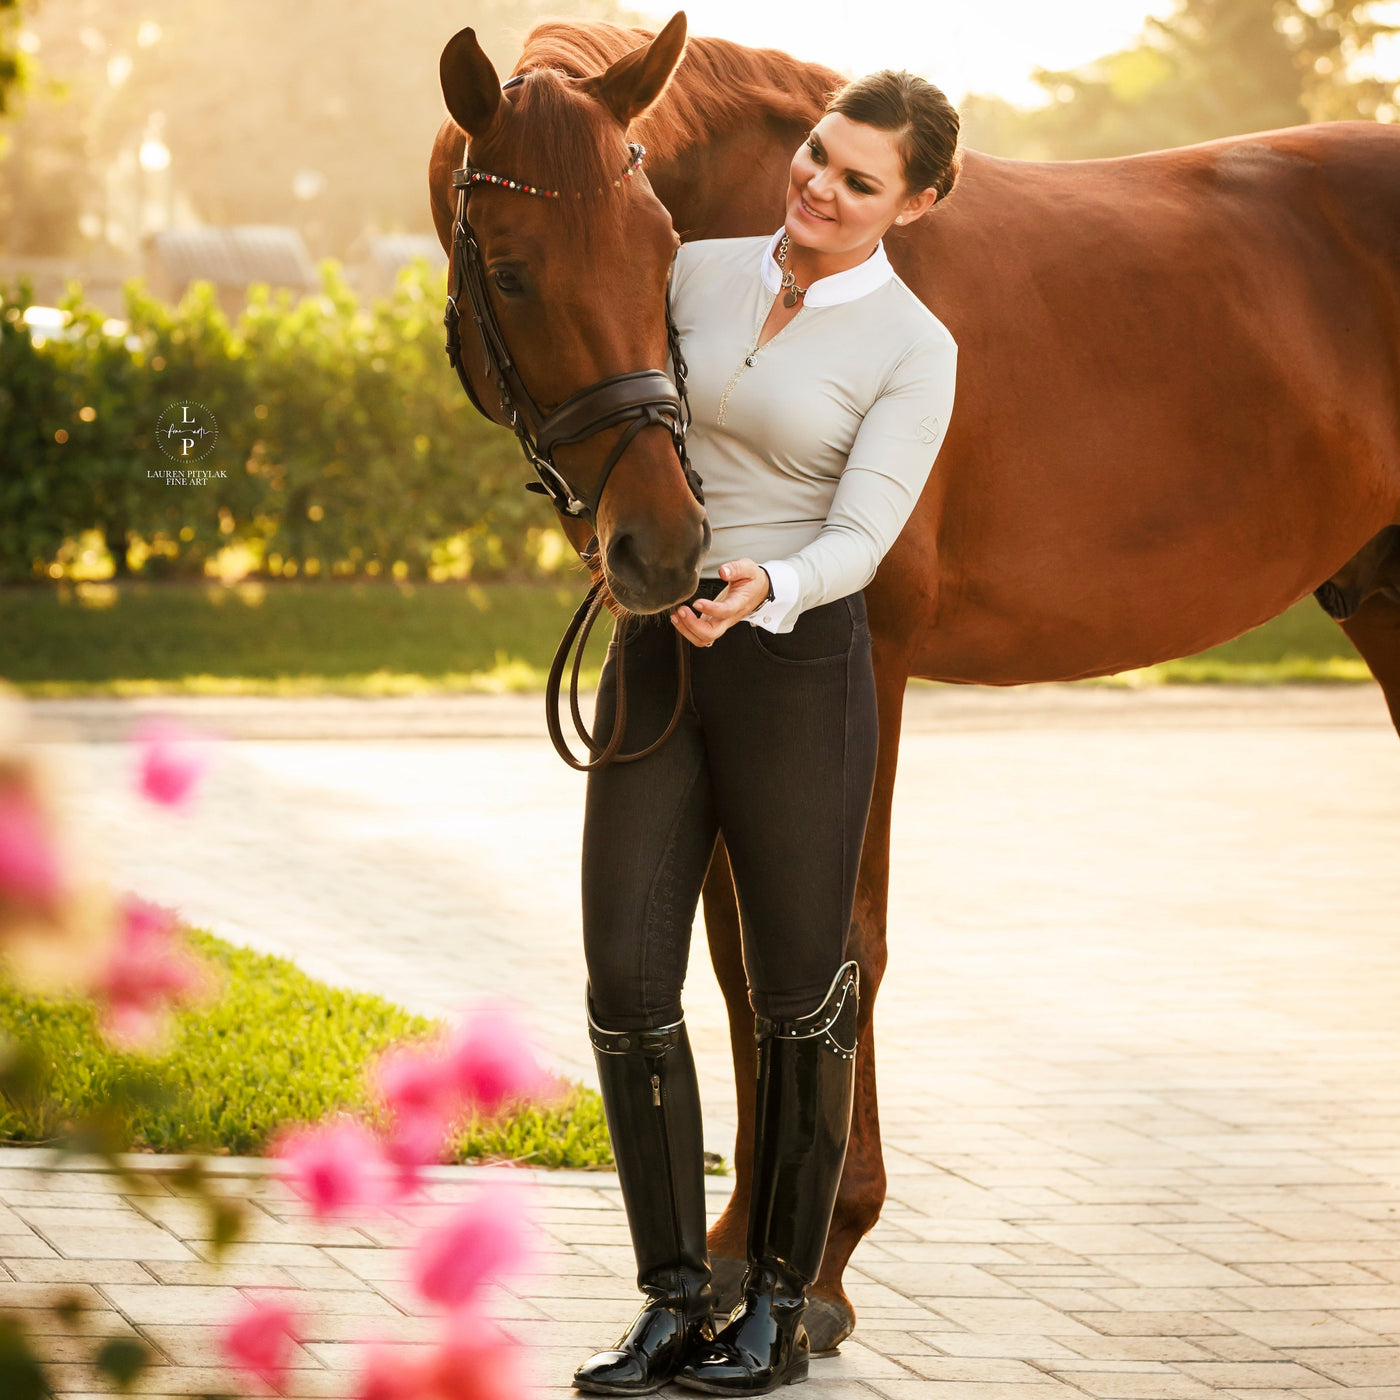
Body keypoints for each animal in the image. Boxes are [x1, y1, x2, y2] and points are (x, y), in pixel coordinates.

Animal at [430, 12, 1400, 1352]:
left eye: (658, 252)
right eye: (515, 272)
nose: (662, 549)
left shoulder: (867, 655)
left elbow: (833, 936)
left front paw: (818, 1268)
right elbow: (737, 954)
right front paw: (732, 1258)